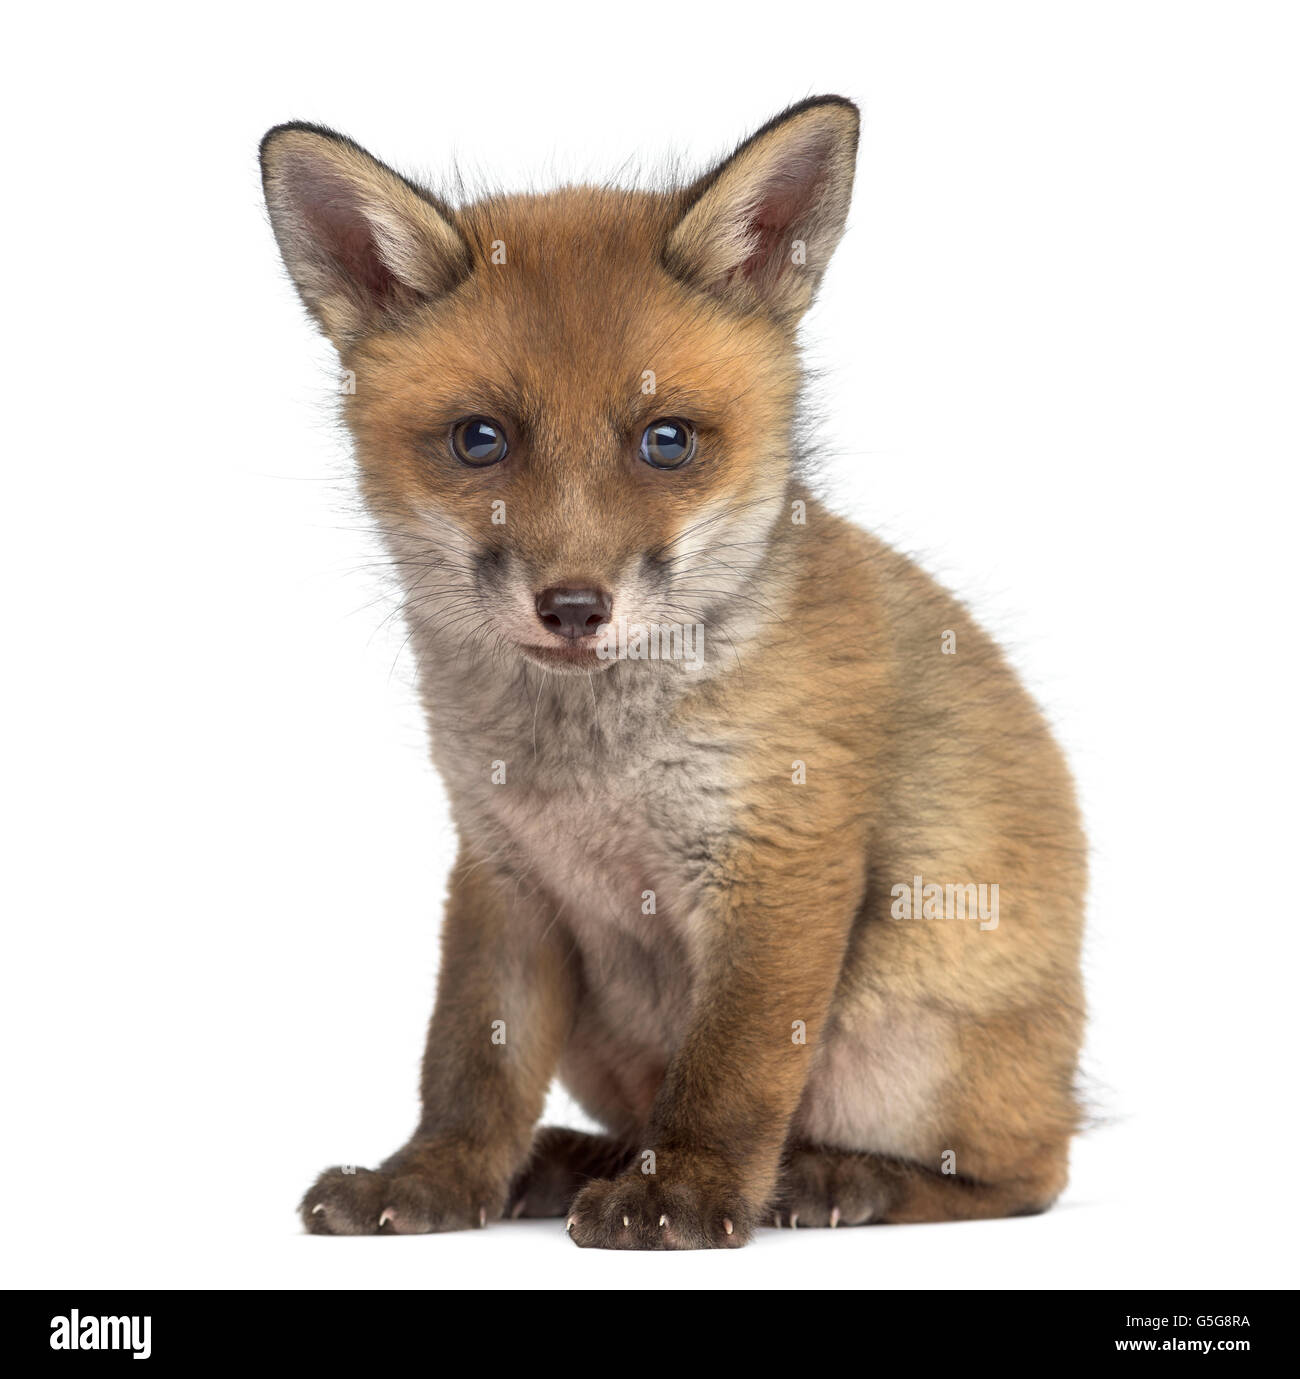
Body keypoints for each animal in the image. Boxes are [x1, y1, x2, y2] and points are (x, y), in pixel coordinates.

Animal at [261, 96, 1087, 1249]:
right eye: (480, 440)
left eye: (666, 440)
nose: (572, 606)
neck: (589, 766)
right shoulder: (500, 870)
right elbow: (470, 1058)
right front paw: (435, 1174)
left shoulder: (780, 857)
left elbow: (732, 1068)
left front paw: (685, 1192)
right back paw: (574, 1159)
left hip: (906, 1036)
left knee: (1027, 1173)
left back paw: (836, 1176)